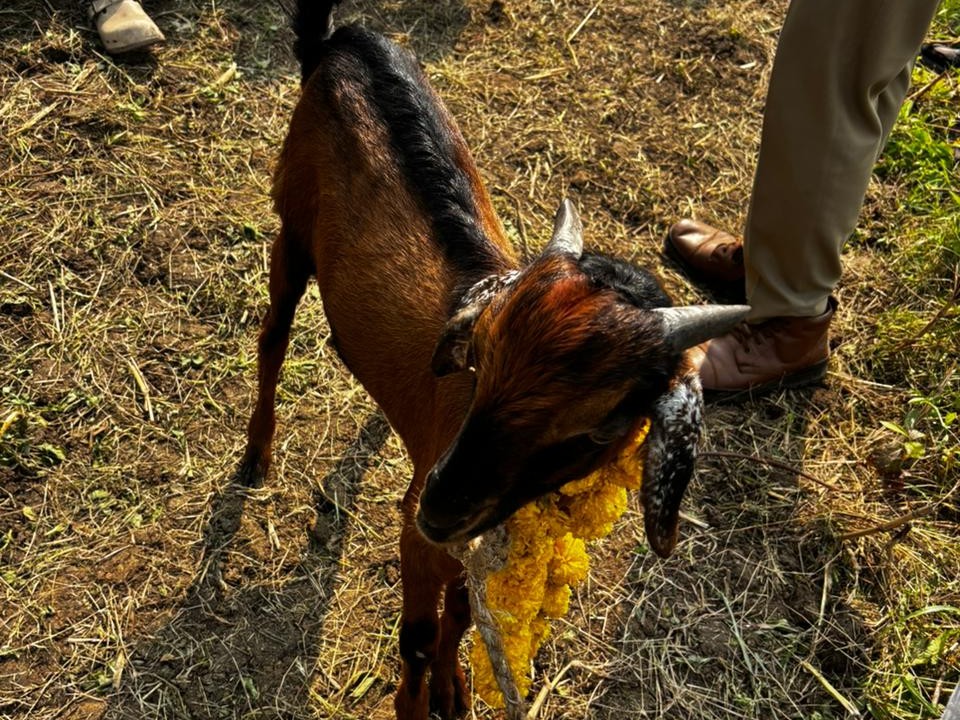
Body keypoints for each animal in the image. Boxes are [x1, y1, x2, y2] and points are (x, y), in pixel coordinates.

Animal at [238, 2, 749, 718]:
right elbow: (419, 634)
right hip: (291, 225)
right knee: (272, 338)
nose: (440, 505)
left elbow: (458, 613)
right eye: (479, 359)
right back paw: (256, 454)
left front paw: (453, 689)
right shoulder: (420, 531)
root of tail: (339, 38)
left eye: (597, 427)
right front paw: (414, 704)